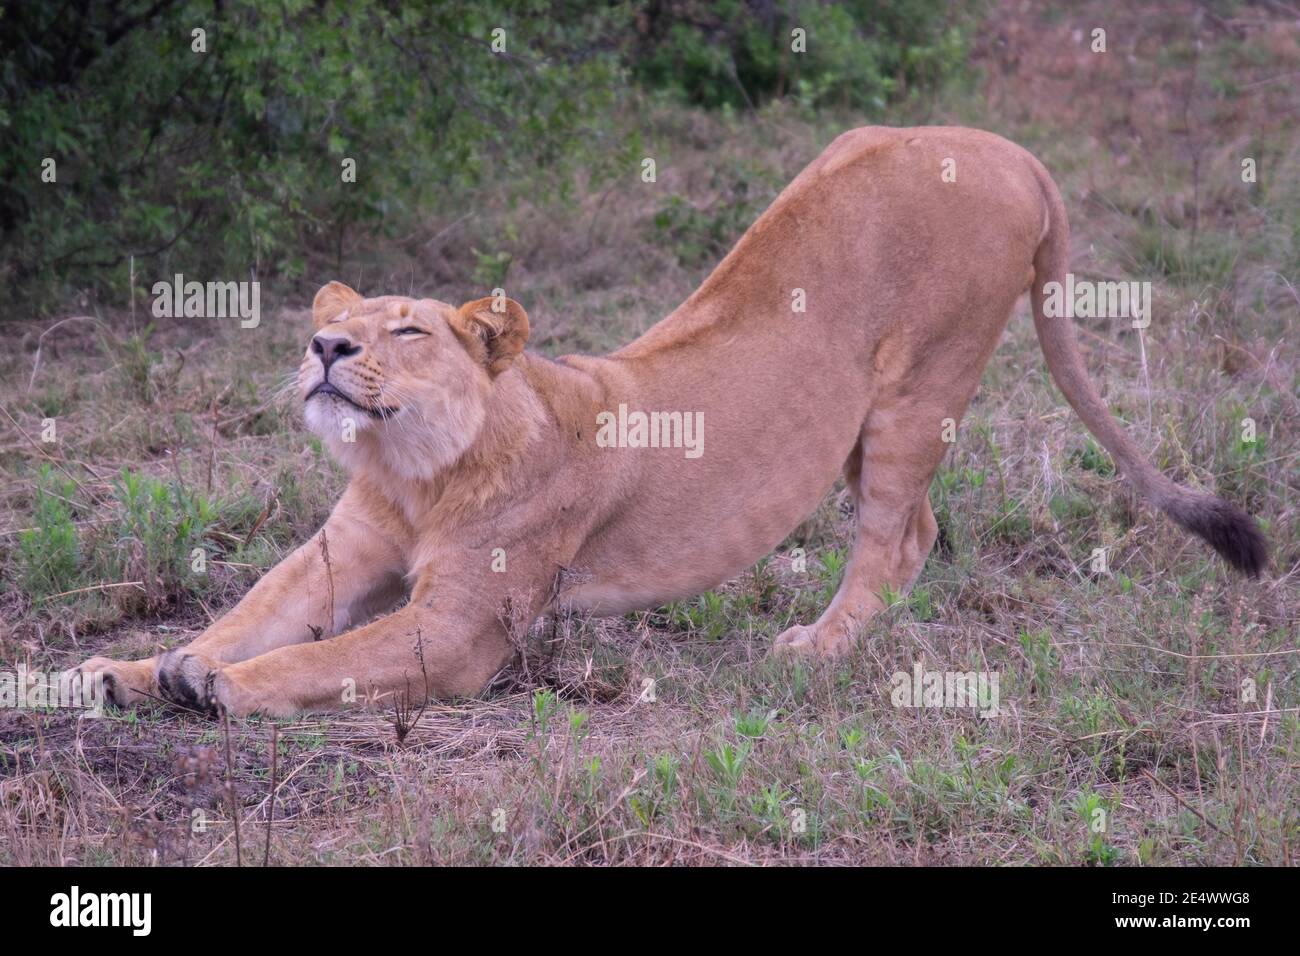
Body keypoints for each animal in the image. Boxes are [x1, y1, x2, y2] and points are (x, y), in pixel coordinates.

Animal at [78, 126, 1268, 716]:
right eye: (338, 323)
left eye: (406, 329)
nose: (327, 350)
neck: (414, 469)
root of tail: (1011, 148)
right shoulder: (340, 552)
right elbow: (247, 613)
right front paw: (134, 669)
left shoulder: (461, 630)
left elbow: (321, 659)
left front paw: (217, 686)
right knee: (919, 530)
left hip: (920, 385)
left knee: (898, 536)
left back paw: (814, 650)